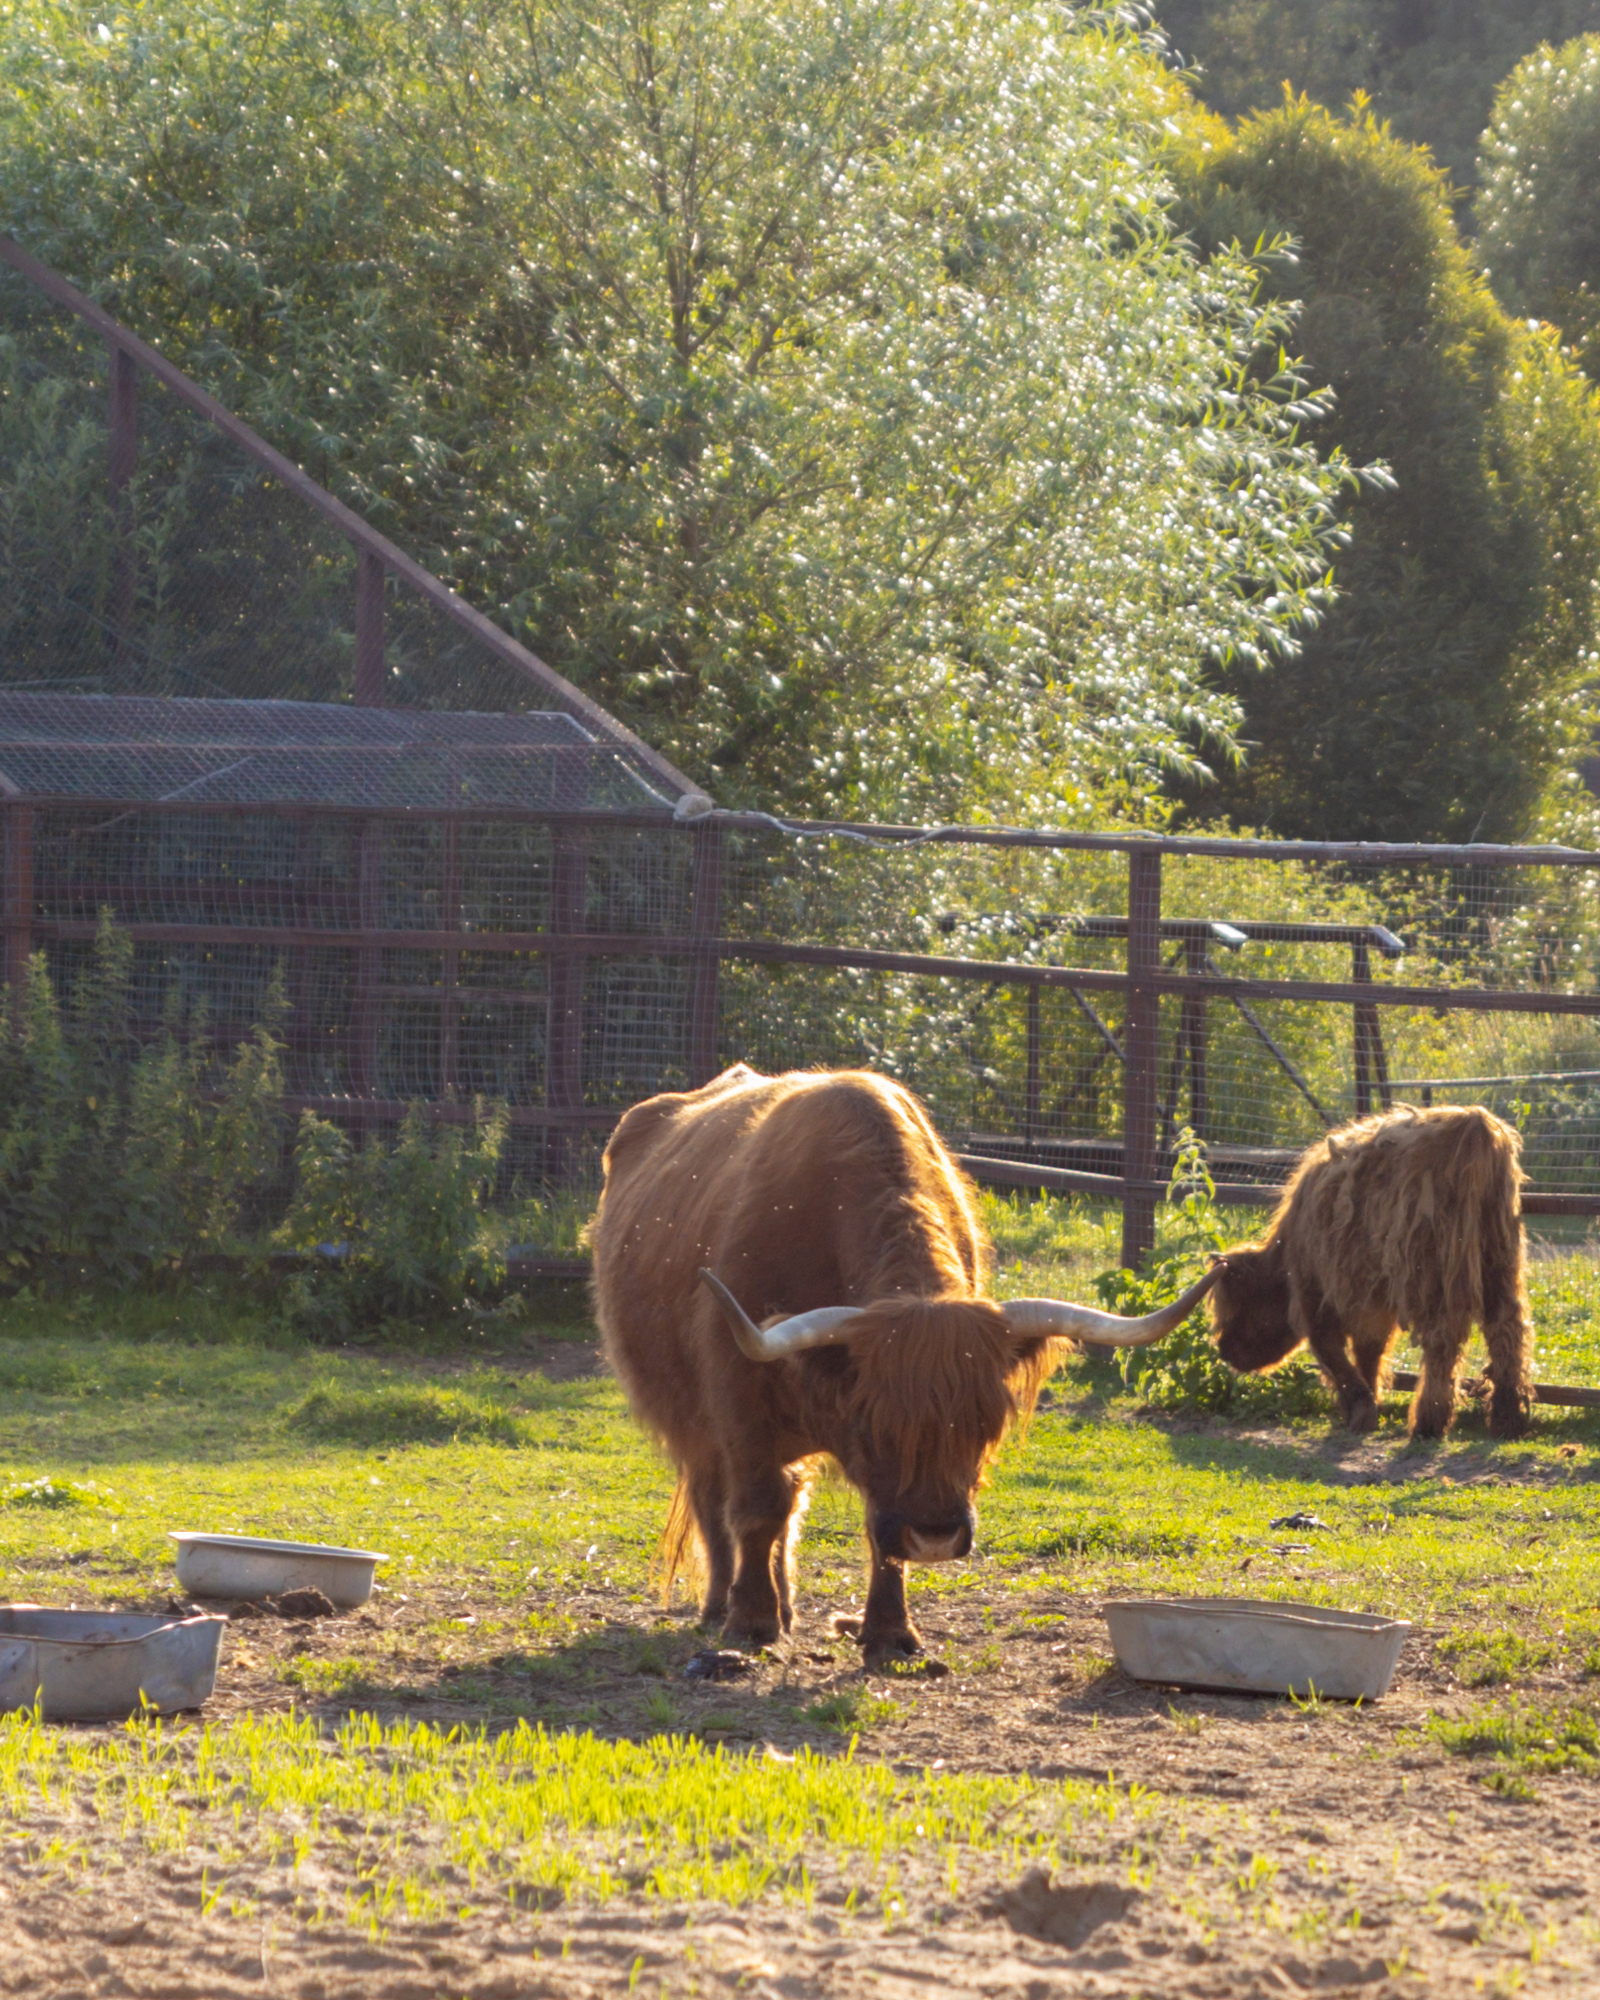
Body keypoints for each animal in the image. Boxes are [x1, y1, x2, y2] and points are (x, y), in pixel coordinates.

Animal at [592, 1064, 1216, 1656]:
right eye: (877, 1423)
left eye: (985, 1423)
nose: (935, 1535)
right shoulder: (741, 1407)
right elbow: (757, 1509)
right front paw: (750, 1621)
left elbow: (869, 1531)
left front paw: (890, 1631)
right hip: (686, 1417)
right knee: (717, 1500)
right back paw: (723, 1605)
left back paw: (788, 1607)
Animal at [1208, 1096, 1528, 1440]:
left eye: (1237, 1305)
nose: (1223, 1349)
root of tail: (1474, 1124)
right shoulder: (1371, 1296)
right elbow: (1369, 1349)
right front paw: (1368, 1403)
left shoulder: (1316, 1291)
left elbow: (1330, 1351)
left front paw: (1360, 1410)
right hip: (1499, 1255)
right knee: (1506, 1326)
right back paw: (1508, 1418)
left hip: (1433, 1271)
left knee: (1443, 1338)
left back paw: (1428, 1423)